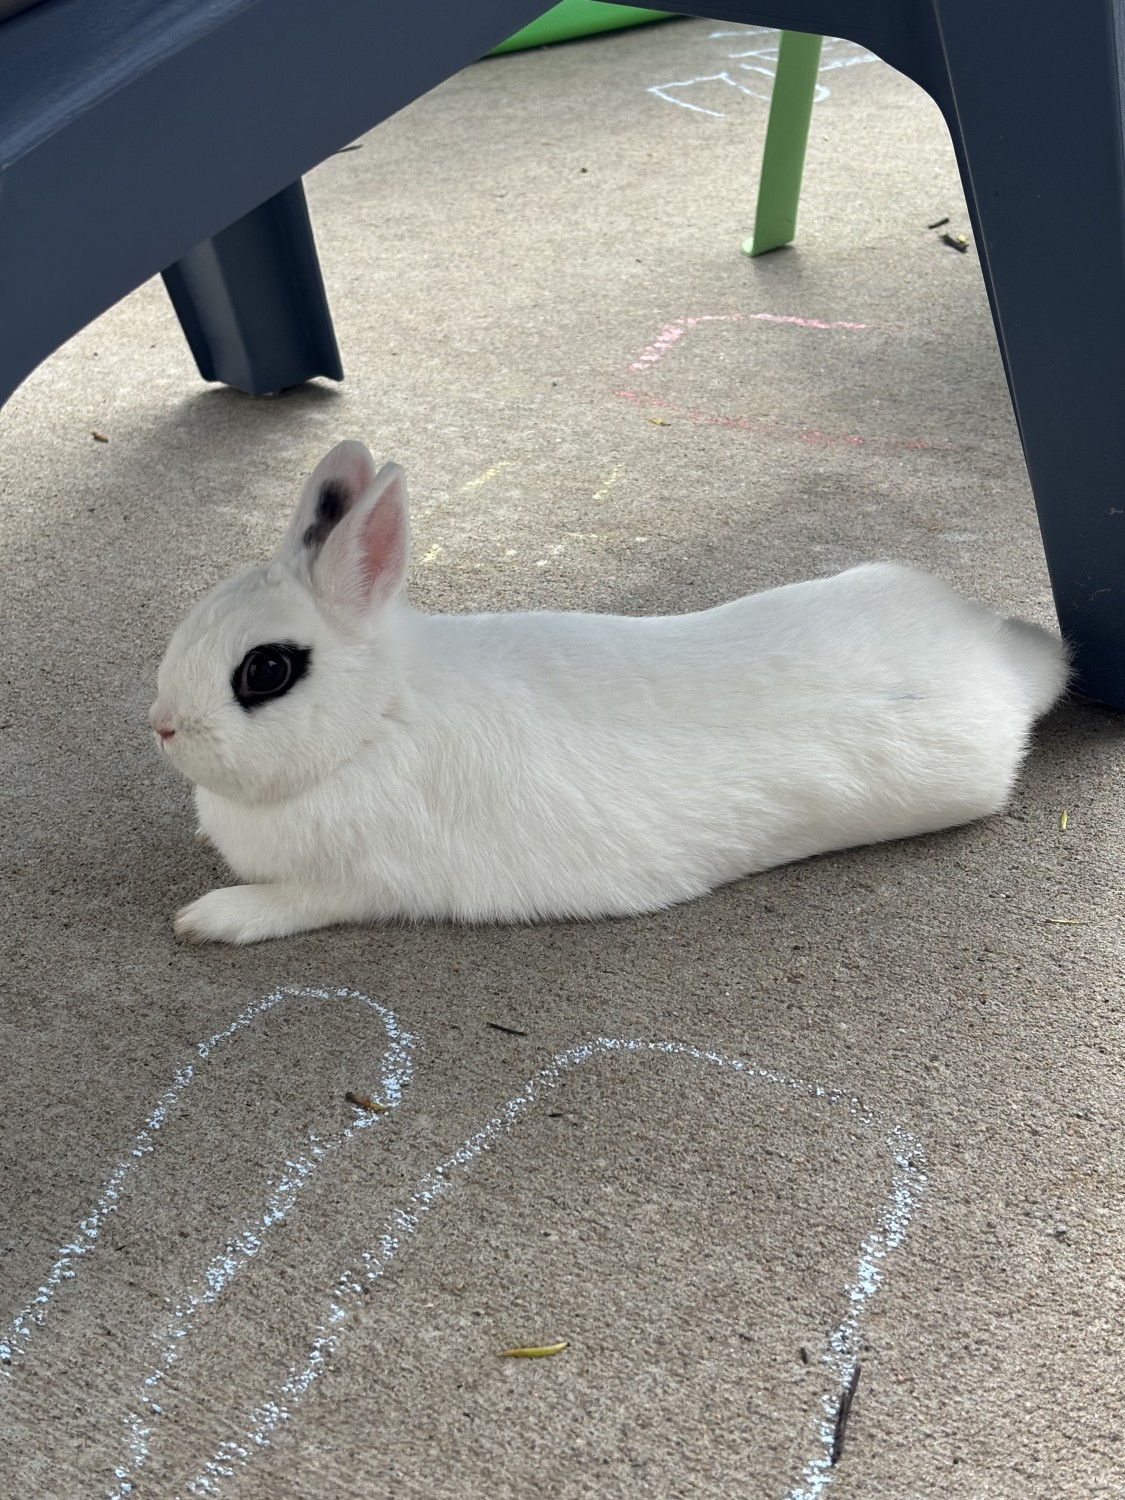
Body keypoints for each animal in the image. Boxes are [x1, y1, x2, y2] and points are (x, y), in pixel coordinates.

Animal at [149, 441, 1068, 945]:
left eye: (266, 671)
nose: (162, 726)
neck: (375, 721)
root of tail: (1000, 662)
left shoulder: (357, 882)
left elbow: (287, 902)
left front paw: (207, 918)